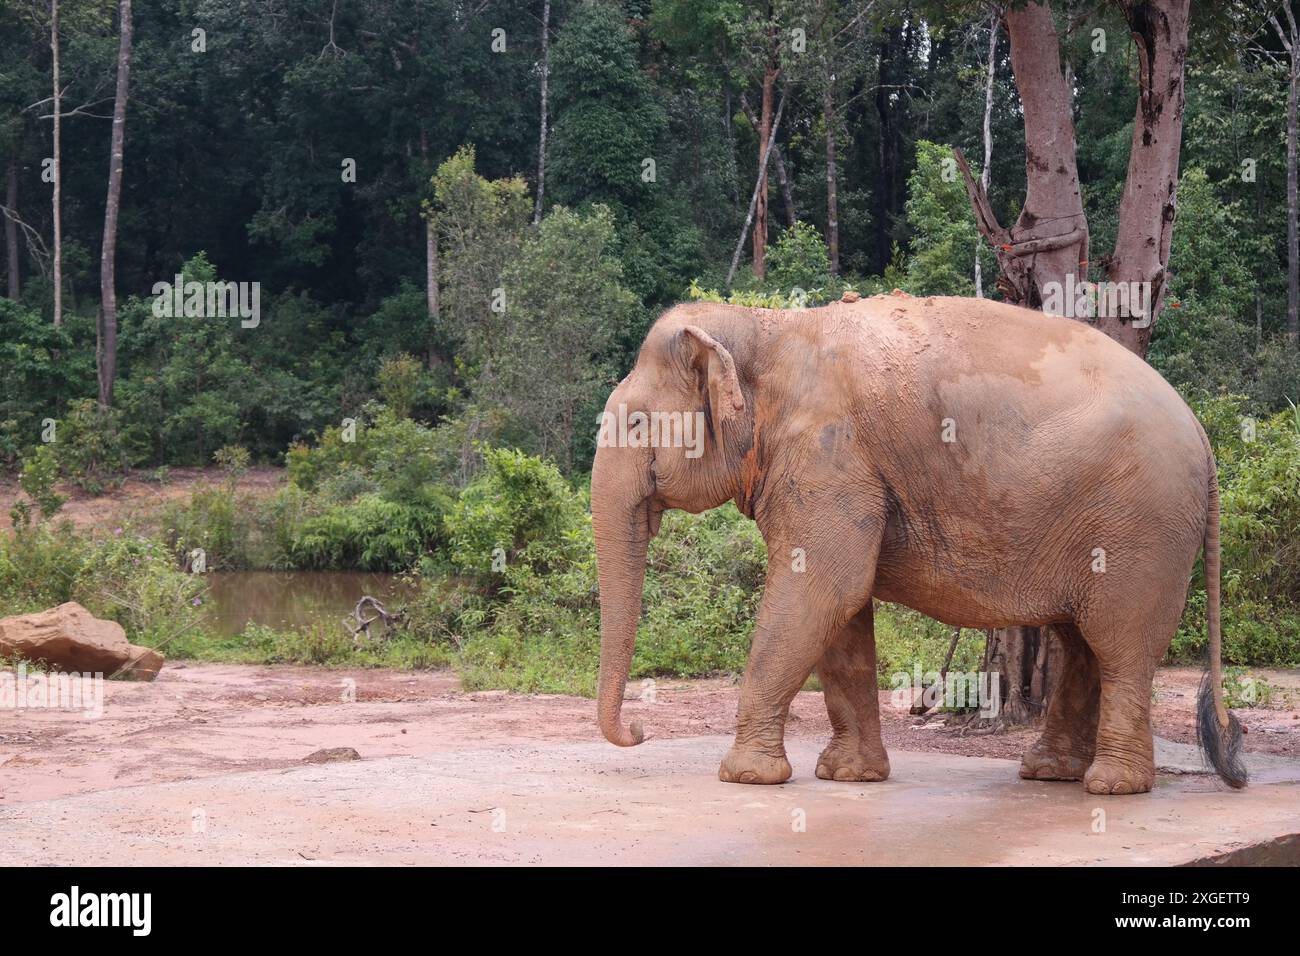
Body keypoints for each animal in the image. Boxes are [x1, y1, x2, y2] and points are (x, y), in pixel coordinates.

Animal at [591, 291, 1247, 796]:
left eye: (635, 424)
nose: (638, 733)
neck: (766, 326)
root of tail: (1203, 435)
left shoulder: (831, 457)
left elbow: (821, 590)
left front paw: (746, 778)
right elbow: (842, 611)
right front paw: (847, 777)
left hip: (1142, 524)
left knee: (1120, 643)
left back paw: (1111, 786)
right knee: (1081, 641)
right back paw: (1050, 773)